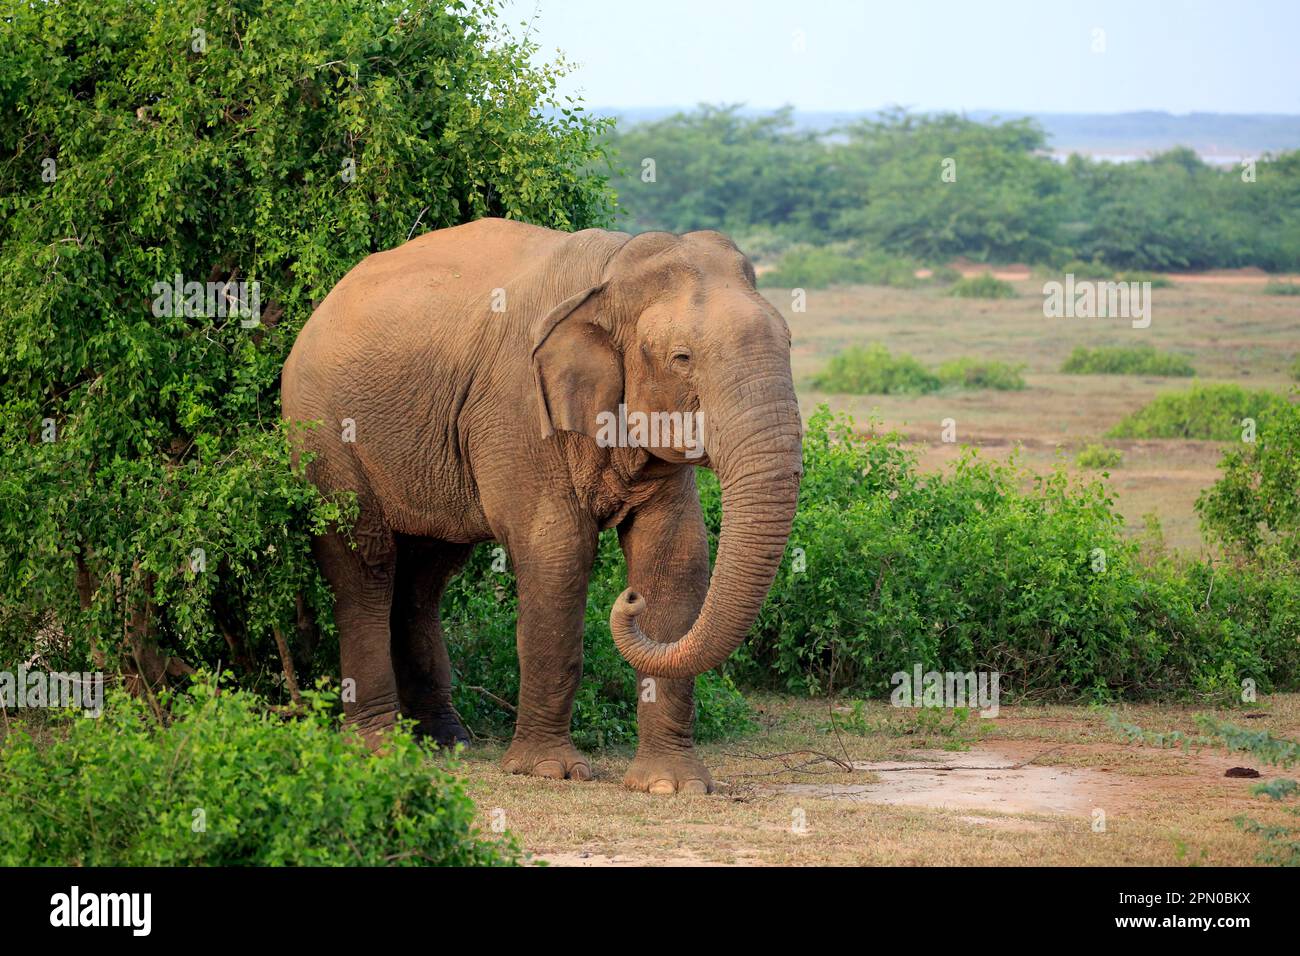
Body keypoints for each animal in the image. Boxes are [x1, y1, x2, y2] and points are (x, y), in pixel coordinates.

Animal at [281, 218, 802, 794]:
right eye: (682, 358)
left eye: (789, 343)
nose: (627, 600)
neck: (611, 273)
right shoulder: (517, 408)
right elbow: (557, 553)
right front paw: (550, 771)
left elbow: (676, 558)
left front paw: (673, 786)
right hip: (322, 435)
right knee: (365, 568)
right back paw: (376, 748)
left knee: (425, 577)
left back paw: (445, 743)